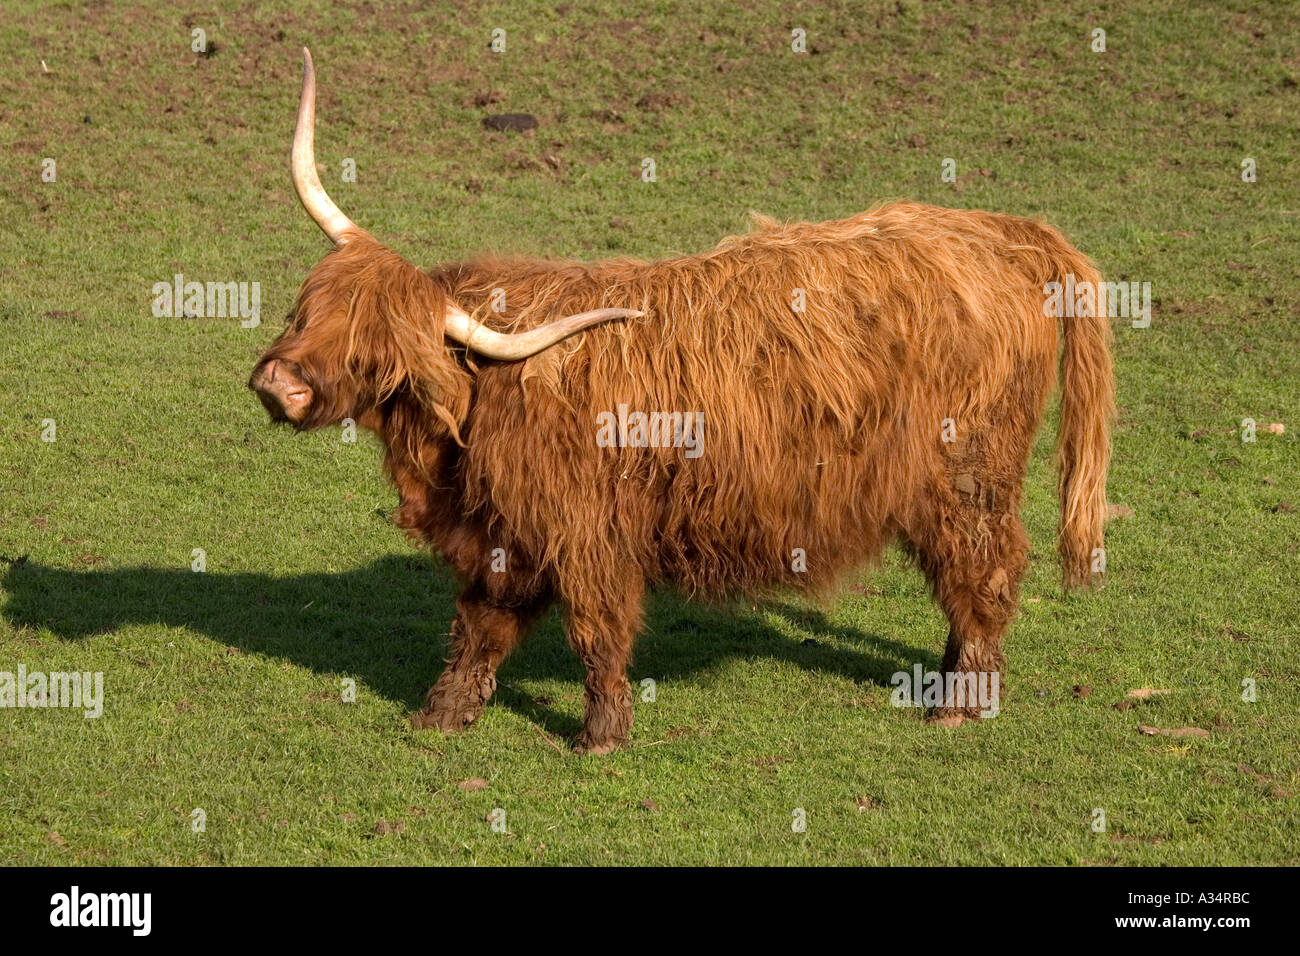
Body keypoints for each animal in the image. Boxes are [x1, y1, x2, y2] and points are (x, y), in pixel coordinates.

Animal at [250, 50, 1113, 753]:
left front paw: (600, 736)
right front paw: (440, 714)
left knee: (988, 570)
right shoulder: (504, 533)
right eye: (308, 309)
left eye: (372, 346)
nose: (279, 383)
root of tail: (1008, 233)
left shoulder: (586, 535)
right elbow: (477, 627)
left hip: (965, 475)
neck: (474, 409)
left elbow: (597, 631)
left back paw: (962, 703)